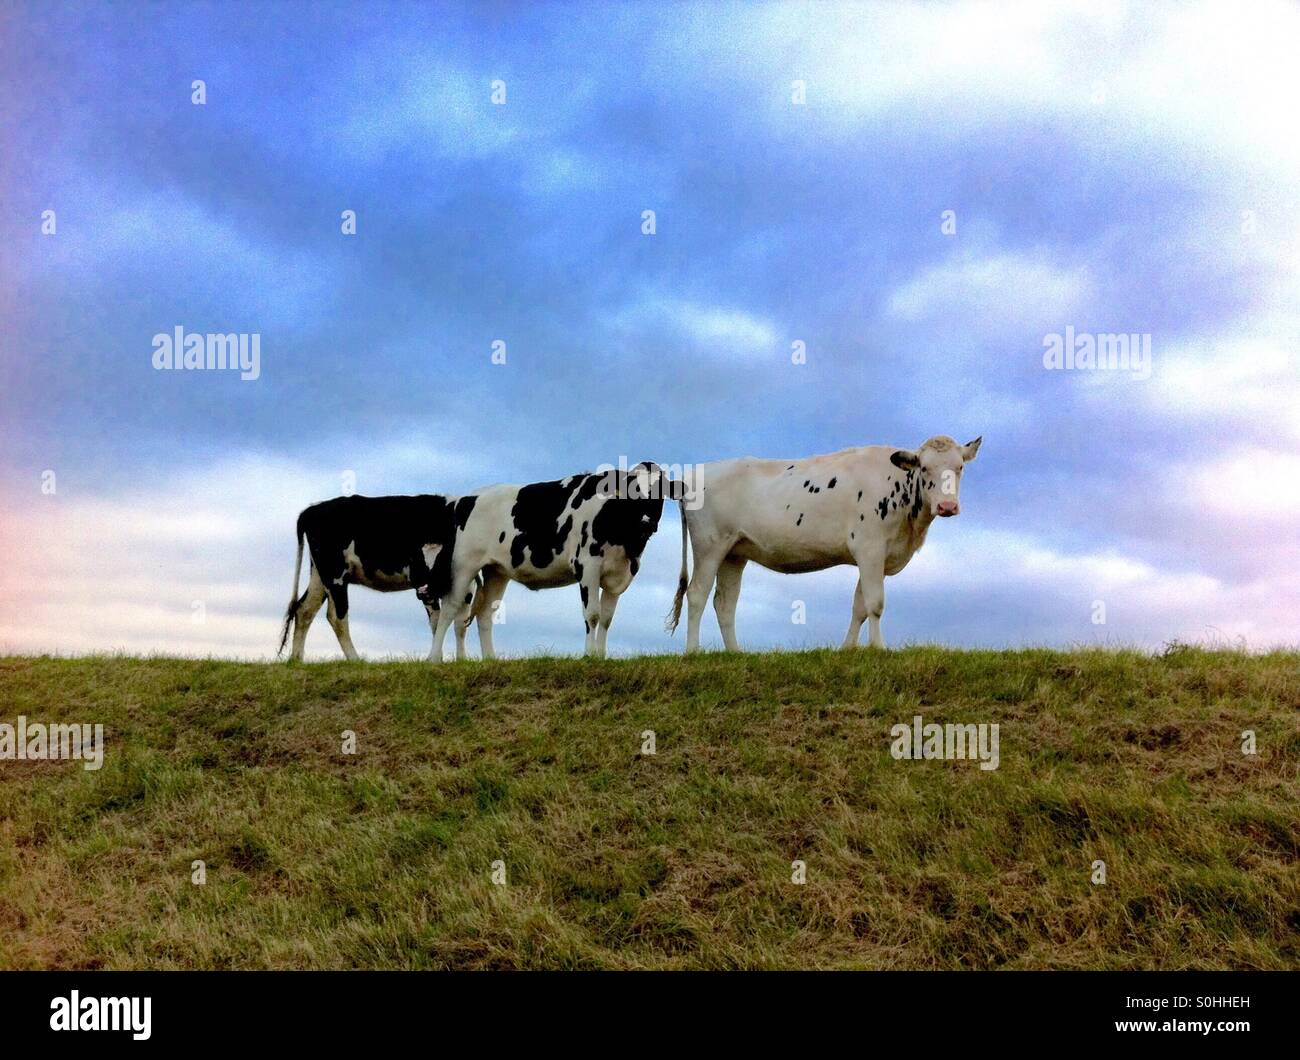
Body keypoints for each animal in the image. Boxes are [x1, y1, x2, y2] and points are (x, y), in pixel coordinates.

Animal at [278, 493, 480, 661]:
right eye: (418, 559)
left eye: (442, 559)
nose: (423, 591)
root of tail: (312, 510)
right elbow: (438, 622)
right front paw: (436, 659)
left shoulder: (466, 585)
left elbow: (460, 623)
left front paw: (461, 660)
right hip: (335, 574)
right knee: (336, 616)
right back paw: (355, 660)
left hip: (319, 575)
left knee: (304, 609)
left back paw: (296, 660)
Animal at [415, 462, 682, 660]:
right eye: (631, 492)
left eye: (660, 492)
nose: (647, 522)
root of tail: (467, 497)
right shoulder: (587, 565)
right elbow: (593, 615)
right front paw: (589, 656)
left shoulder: (618, 575)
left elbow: (607, 619)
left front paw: (601, 656)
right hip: (463, 565)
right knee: (449, 610)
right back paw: (434, 658)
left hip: (496, 571)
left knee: (485, 614)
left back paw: (490, 660)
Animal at [665, 436, 982, 652]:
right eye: (924, 468)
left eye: (960, 467)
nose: (947, 506)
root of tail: (691, 476)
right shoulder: (870, 547)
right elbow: (875, 603)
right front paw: (879, 649)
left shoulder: (875, 555)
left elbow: (859, 606)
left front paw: (848, 649)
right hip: (709, 546)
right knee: (697, 594)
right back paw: (693, 652)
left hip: (734, 552)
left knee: (724, 602)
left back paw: (735, 653)